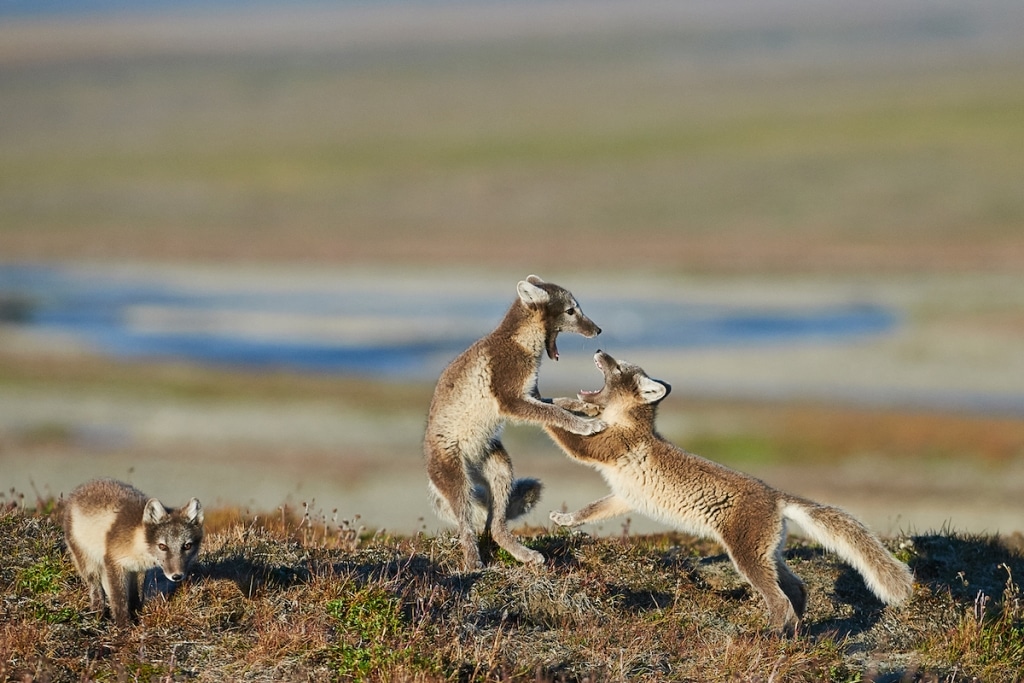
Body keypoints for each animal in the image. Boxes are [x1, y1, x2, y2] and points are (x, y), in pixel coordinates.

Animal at [62, 478, 204, 627]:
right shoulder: (114, 563)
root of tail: (82, 487)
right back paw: (97, 613)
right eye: (162, 546)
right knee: (95, 587)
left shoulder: (138, 569)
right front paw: (124, 626)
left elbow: (136, 595)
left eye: (187, 546)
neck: (137, 542)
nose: (177, 576)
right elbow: (119, 599)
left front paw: (137, 616)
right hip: (87, 562)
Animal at [425, 275, 606, 570]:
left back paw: (525, 555)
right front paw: (586, 426)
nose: (598, 330)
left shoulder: (533, 395)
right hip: (456, 479)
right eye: (571, 311)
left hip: (500, 468)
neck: (521, 343)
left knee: (495, 528)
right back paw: (474, 563)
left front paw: (588, 408)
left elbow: (560, 402)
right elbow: (555, 413)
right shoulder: (512, 401)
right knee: (467, 527)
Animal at [545, 350, 914, 634]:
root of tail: (775, 495)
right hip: (768, 555)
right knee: (797, 588)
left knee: (780, 599)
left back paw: (769, 636)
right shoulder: (624, 497)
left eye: (619, 368)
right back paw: (795, 634)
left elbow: (560, 430)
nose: (600, 350)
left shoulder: (595, 450)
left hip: (747, 558)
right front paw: (564, 519)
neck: (626, 422)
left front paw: (540, 402)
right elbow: (589, 511)